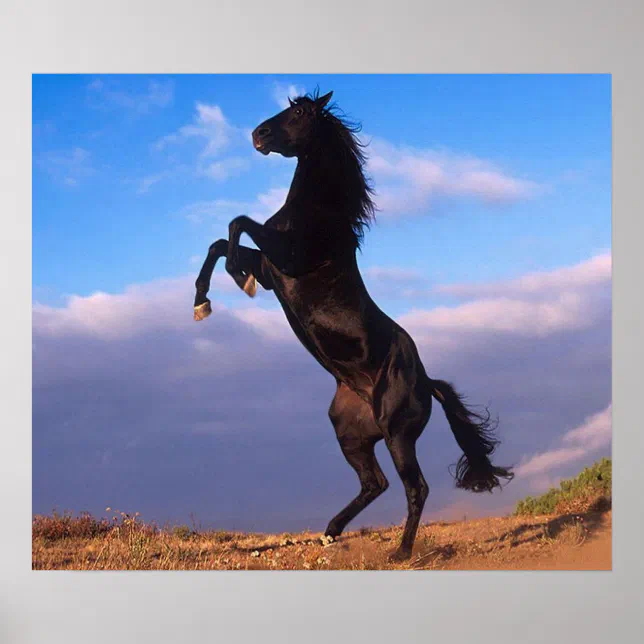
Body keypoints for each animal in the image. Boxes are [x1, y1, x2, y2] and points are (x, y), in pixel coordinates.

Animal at [193, 89, 513, 560]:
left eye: (300, 112)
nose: (257, 134)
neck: (318, 214)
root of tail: (427, 382)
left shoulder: (286, 260)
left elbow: (237, 224)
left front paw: (236, 278)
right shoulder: (273, 271)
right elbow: (219, 241)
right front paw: (202, 302)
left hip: (398, 434)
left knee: (415, 487)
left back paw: (400, 553)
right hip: (351, 434)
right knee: (374, 483)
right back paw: (330, 532)